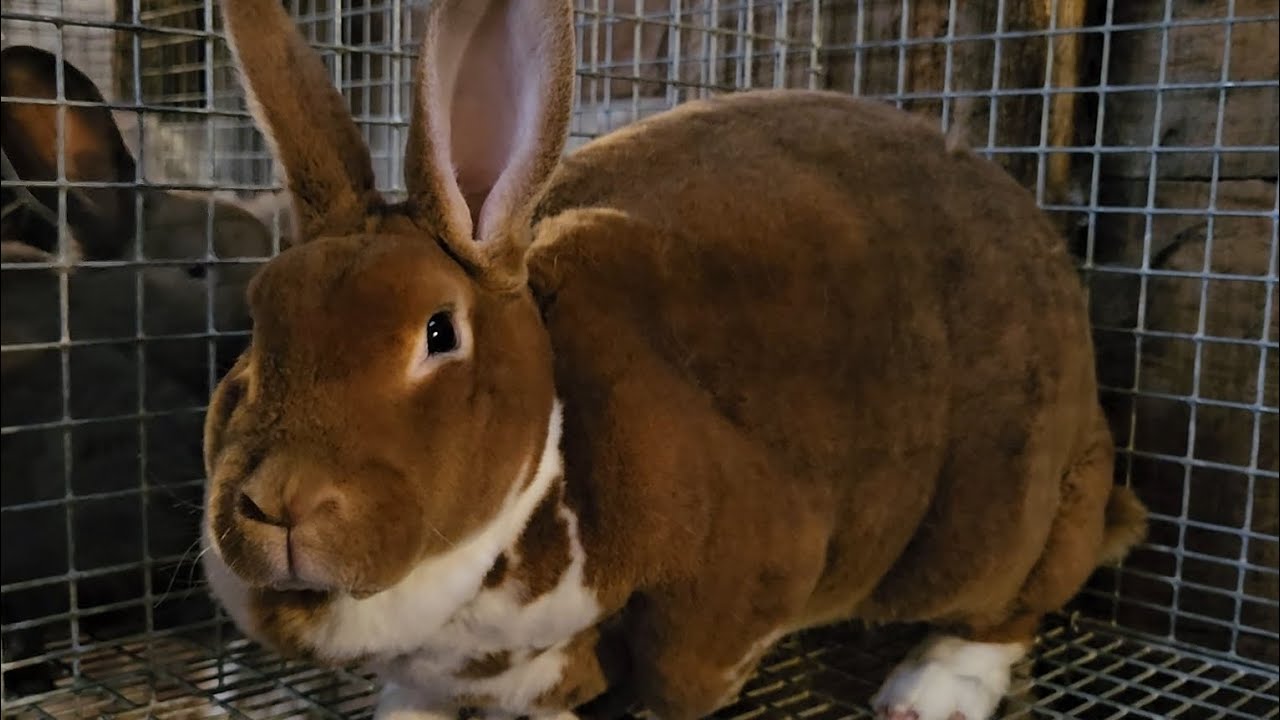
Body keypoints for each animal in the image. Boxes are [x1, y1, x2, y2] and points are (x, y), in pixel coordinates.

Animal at [199, 1, 1149, 719]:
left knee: (1015, 601)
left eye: (438, 331)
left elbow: (672, 685)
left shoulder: (733, 592)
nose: (276, 505)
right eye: (259, 316)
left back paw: (927, 692)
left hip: (1005, 511)